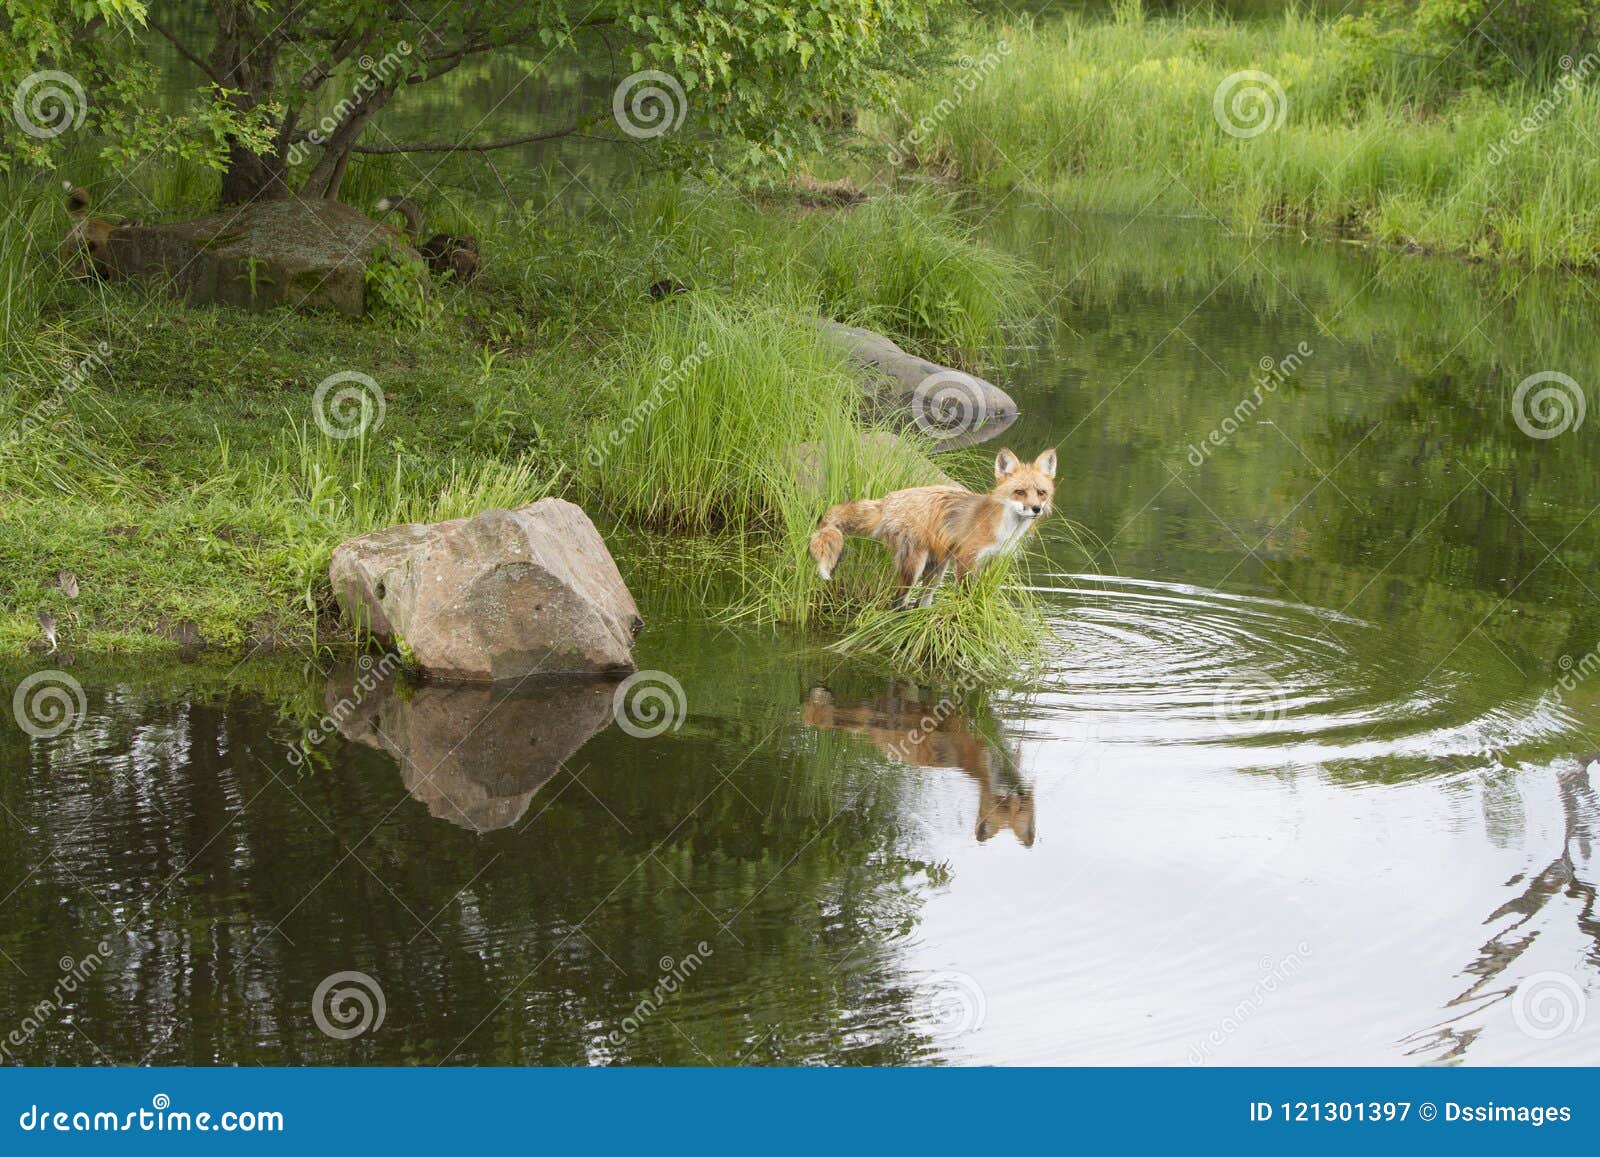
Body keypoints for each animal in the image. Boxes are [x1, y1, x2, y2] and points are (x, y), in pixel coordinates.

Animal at [809, 447, 1056, 609]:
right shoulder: (966, 559)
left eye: (1041, 493)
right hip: (916, 565)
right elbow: (965, 595)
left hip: (938, 567)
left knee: (923, 601)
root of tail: (887, 501)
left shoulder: (994, 561)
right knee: (898, 601)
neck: (1003, 529)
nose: (1036, 509)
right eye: (1020, 492)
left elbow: (981, 593)